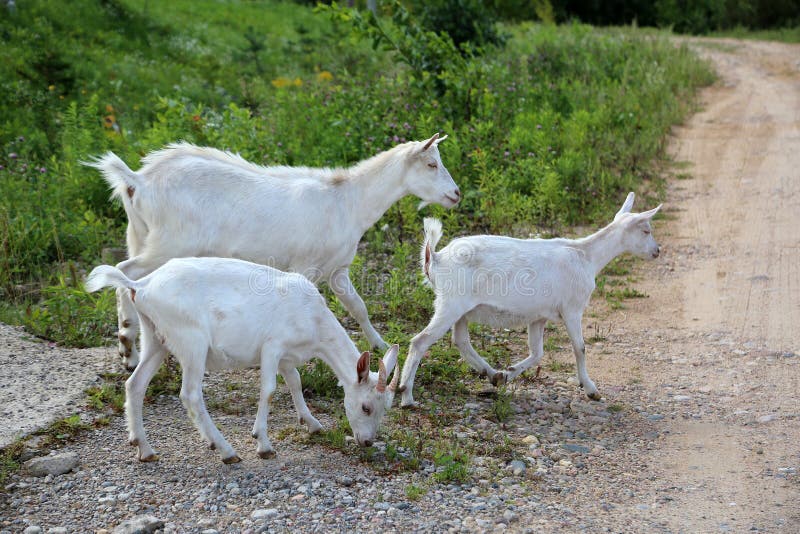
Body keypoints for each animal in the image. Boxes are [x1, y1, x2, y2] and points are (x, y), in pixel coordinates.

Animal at [85, 134, 459, 370]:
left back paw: (131, 347)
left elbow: (359, 307)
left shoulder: (337, 269)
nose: (455, 194)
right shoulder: (304, 266)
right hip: (169, 242)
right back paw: (127, 343)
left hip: (141, 234)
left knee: (132, 279)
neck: (347, 201)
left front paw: (380, 344)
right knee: (126, 271)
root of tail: (137, 182)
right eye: (431, 164)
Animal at [85, 257, 400, 463]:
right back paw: (226, 451)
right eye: (366, 407)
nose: (367, 441)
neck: (315, 321)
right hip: (192, 341)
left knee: (135, 384)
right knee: (190, 394)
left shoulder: (287, 357)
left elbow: (295, 382)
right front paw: (263, 443)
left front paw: (311, 423)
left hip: (156, 338)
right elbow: (270, 390)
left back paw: (144, 448)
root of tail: (140, 285)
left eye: (386, 408)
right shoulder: (272, 347)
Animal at [397, 192, 661, 407]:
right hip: (450, 303)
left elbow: (537, 352)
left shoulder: (539, 316)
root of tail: (435, 258)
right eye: (646, 230)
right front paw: (591, 390)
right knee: (420, 341)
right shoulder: (572, 308)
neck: (586, 256)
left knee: (460, 341)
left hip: (459, 308)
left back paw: (491, 373)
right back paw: (407, 397)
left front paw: (508, 374)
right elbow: (580, 348)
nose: (657, 251)